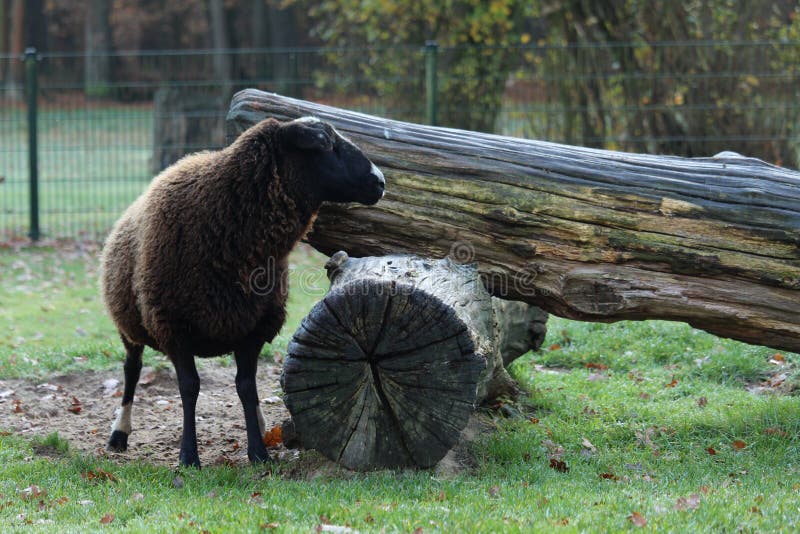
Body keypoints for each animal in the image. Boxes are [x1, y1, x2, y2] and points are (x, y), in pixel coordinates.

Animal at [100, 116, 386, 467]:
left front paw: (258, 452)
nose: (380, 181)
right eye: (324, 142)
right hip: (130, 326)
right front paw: (189, 456)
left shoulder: (253, 328)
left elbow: (246, 387)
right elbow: (189, 388)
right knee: (132, 371)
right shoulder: (174, 328)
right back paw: (119, 433)